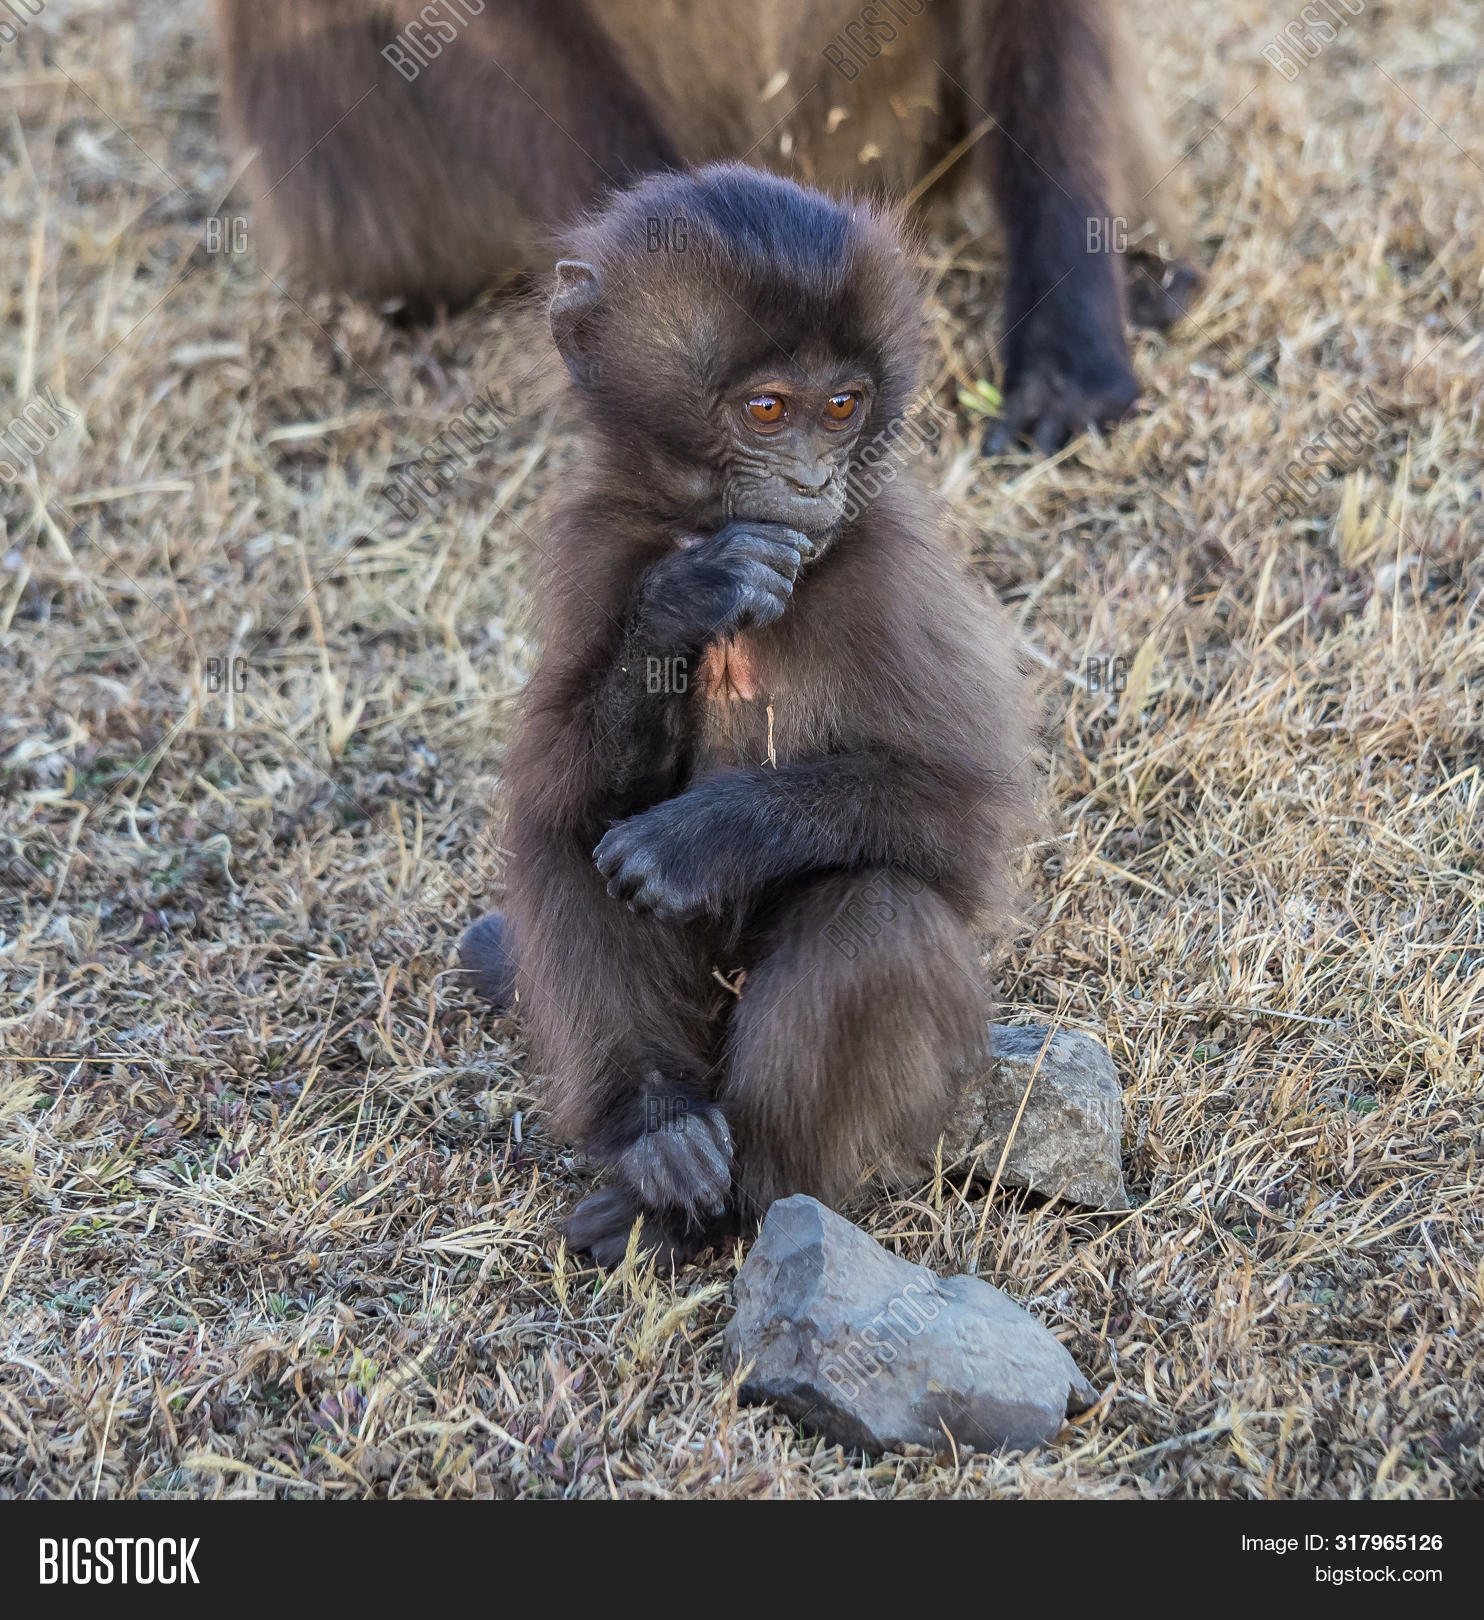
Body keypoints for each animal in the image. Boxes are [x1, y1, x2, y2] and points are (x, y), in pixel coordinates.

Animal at [459, 163, 1036, 1266]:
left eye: (842, 405)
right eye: (767, 408)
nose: (811, 479)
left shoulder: (886, 571)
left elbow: (964, 821)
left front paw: (700, 838)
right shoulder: (600, 541)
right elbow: (554, 776)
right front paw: (686, 602)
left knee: (875, 914)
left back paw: (726, 1203)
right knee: (566, 829)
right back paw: (660, 1133)